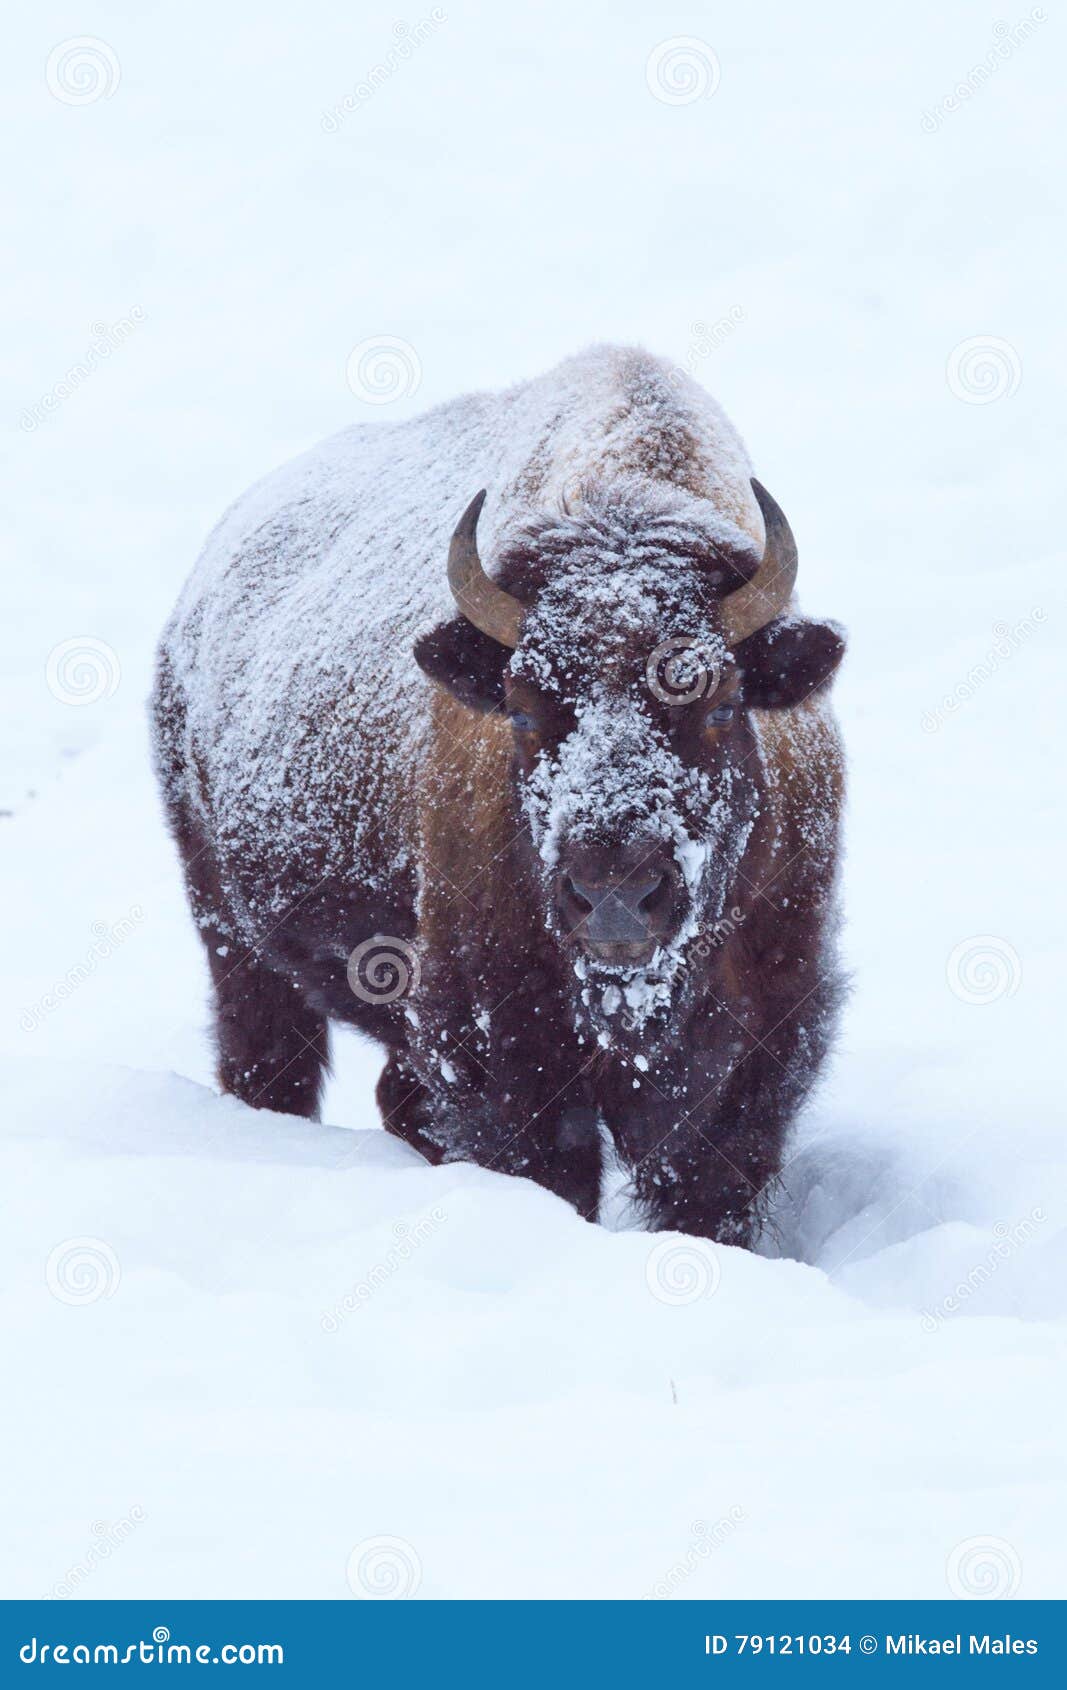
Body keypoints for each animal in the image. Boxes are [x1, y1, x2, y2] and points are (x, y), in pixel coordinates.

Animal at [152, 345, 846, 1244]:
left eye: (720, 700)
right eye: (522, 707)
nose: (614, 891)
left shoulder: (758, 1055)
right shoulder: (500, 1055)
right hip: (234, 943)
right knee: (269, 1063)